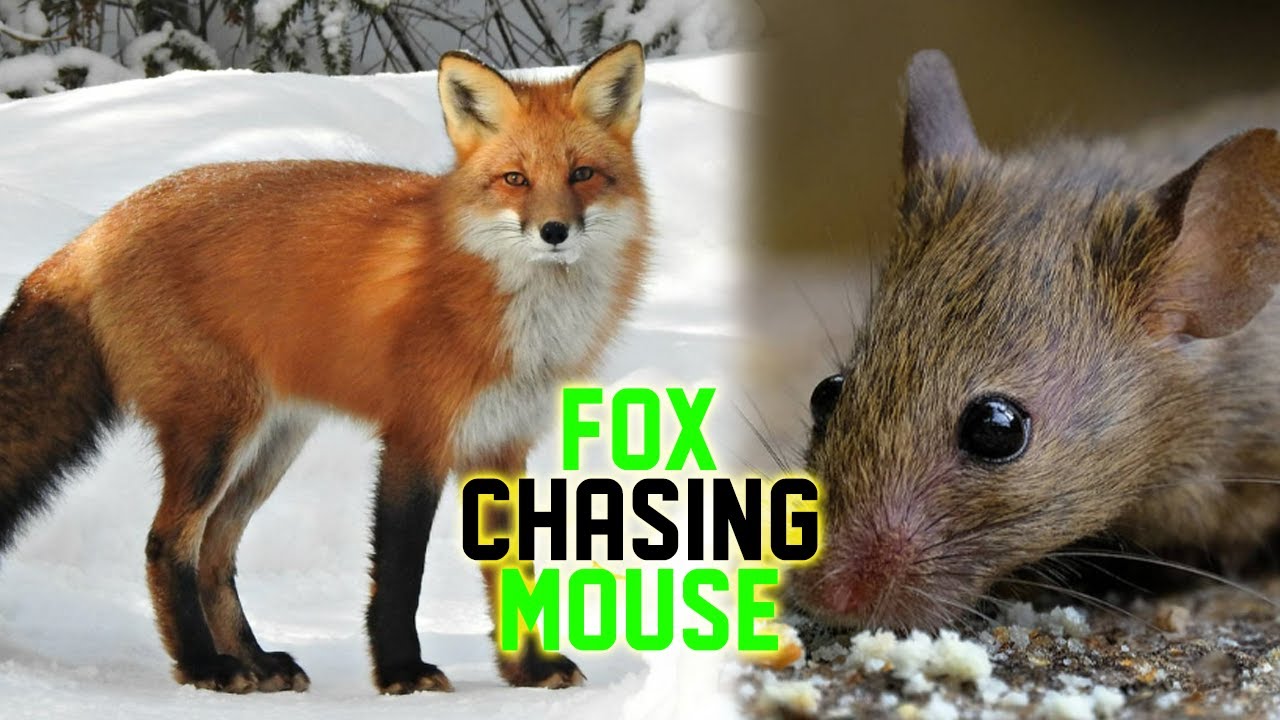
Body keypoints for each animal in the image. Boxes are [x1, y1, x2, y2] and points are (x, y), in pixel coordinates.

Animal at [0, 41, 649, 694]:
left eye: (582, 174)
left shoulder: (503, 442)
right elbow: (400, 571)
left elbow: (515, 570)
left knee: (213, 553)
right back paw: (205, 665)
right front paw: (401, 671)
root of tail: (95, 231)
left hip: (272, 444)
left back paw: (256, 661)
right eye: (516, 179)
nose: (554, 231)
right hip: (216, 434)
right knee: (166, 544)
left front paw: (529, 668)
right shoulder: (416, 436)